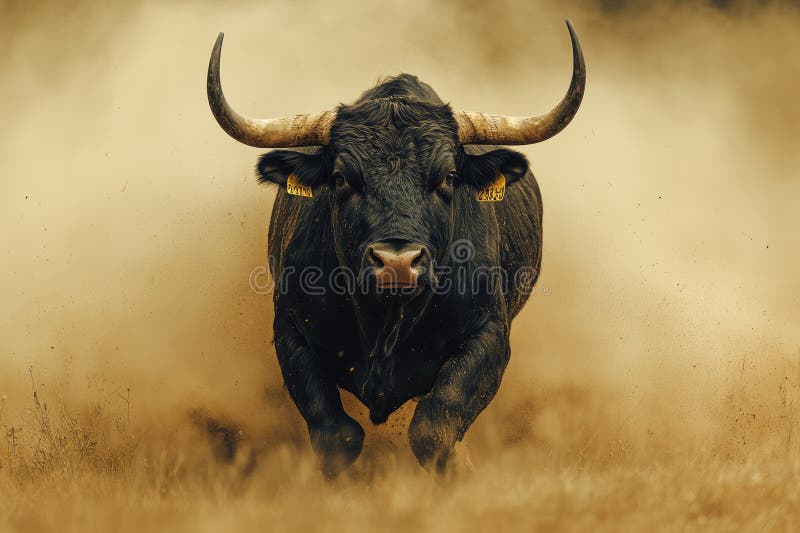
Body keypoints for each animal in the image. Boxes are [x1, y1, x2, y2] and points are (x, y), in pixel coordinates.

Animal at [206, 20, 585, 476]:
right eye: (341, 178)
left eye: (448, 177)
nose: (398, 264)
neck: (385, 324)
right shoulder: (291, 333)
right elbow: (337, 436)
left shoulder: (490, 336)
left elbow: (435, 427)